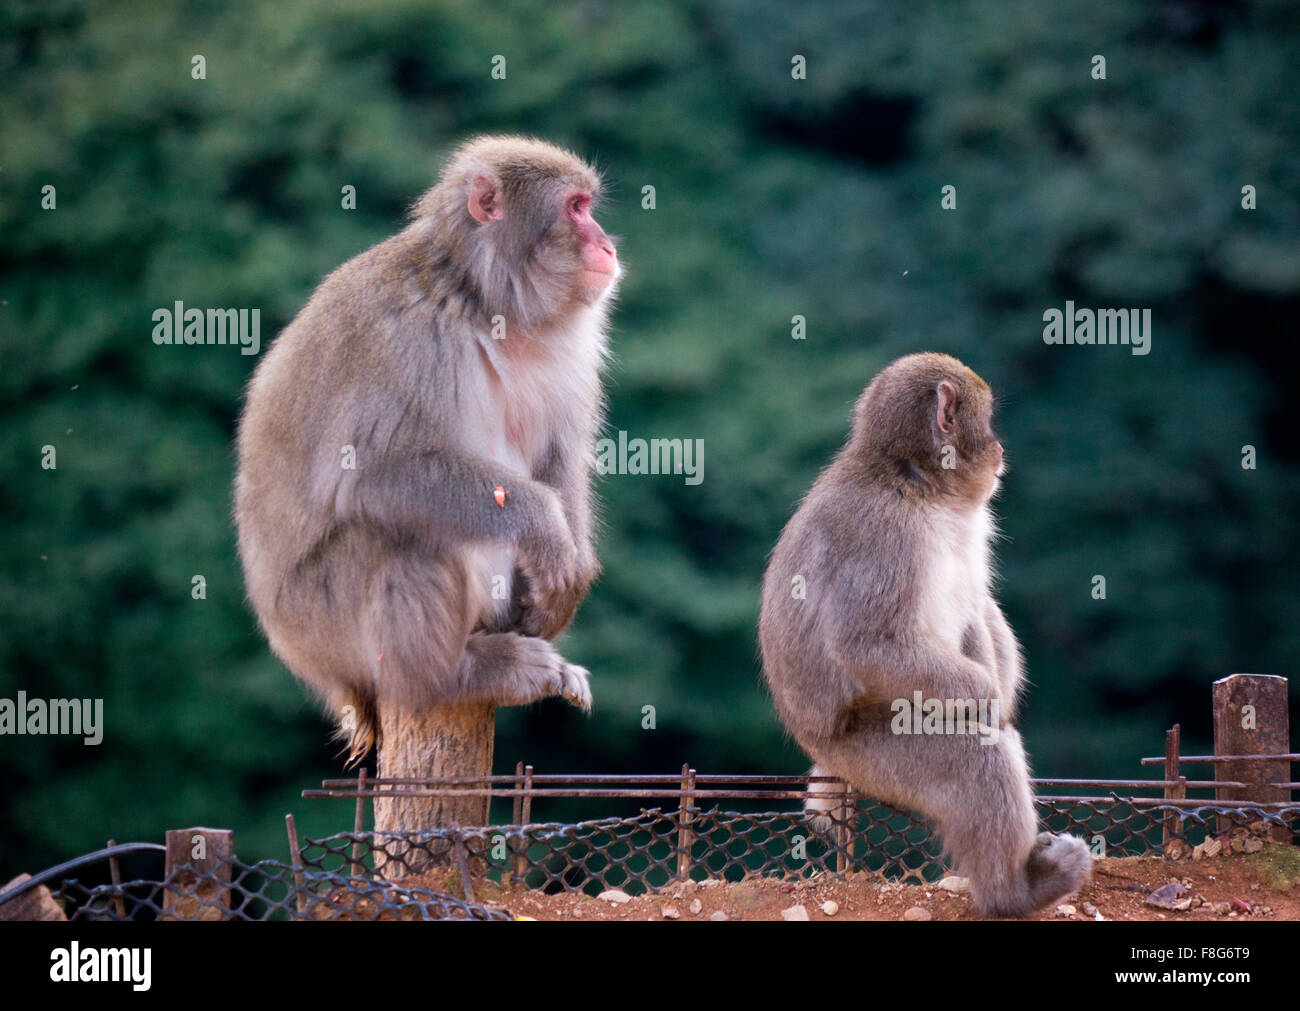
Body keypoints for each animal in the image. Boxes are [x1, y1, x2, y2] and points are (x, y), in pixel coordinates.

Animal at [234, 135, 621, 765]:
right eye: (575, 209)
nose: (608, 243)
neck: (487, 304)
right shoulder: (409, 335)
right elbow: (374, 473)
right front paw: (545, 528)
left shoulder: (572, 355)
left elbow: (559, 458)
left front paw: (569, 572)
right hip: (322, 629)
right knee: (404, 539)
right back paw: (452, 677)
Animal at [758, 353, 1091, 918]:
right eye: (988, 419)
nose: (1001, 449)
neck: (916, 485)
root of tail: (817, 743)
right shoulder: (885, 533)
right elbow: (867, 643)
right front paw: (986, 697)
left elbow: (973, 610)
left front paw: (996, 698)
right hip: (867, 751)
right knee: (977, 758)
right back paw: (1015, 893)